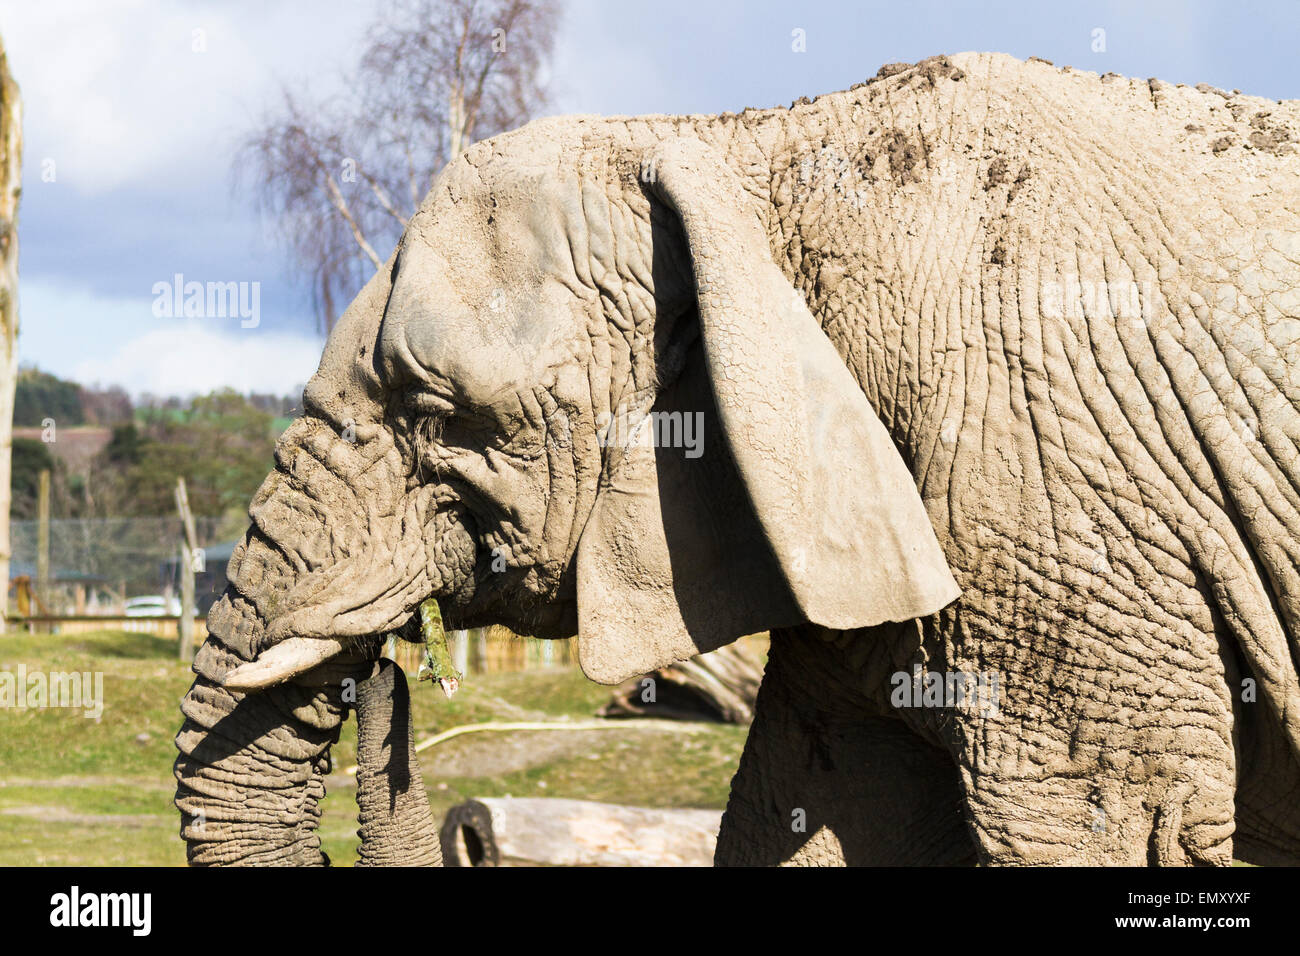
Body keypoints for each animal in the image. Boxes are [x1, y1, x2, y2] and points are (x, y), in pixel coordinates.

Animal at [174, 51, 1300, 866]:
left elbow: (1098, 826)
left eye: (437, 410)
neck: (744, 154)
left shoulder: (1064, 517)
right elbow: (810, 809)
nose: (386, 678)